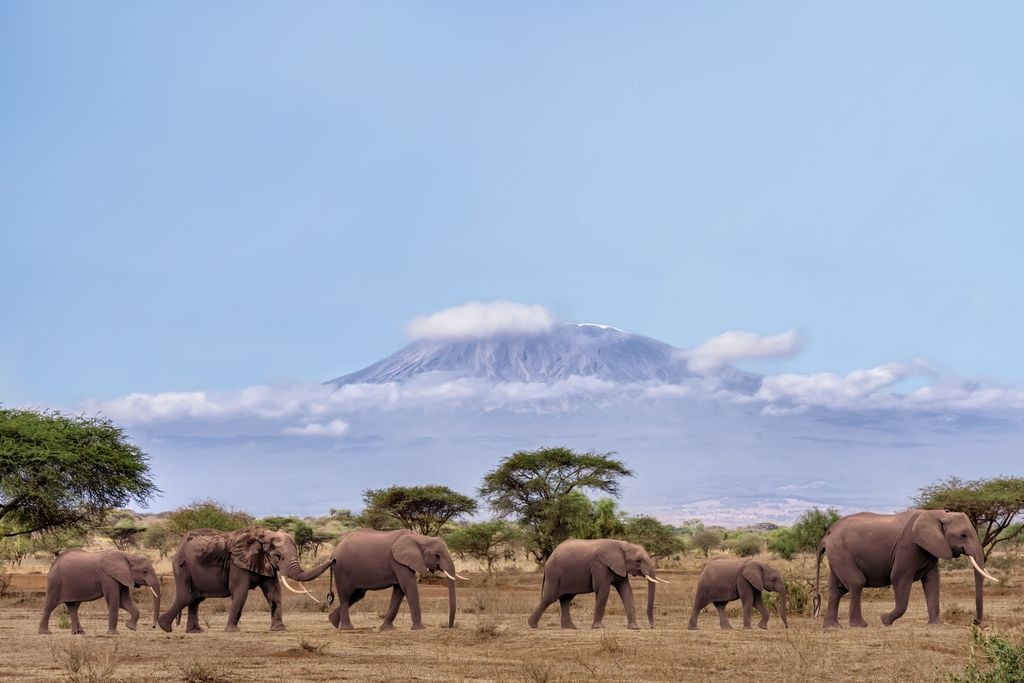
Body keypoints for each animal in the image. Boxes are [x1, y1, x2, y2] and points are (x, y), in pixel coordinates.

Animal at [157, 527, 333, 633]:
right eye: (278, 556)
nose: (333, 560)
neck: (263, 535)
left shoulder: (263, 562)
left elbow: (274, 592)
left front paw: (279, 629)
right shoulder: (237, 563)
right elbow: (240, 591)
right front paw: (232, 631)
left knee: (195, 600)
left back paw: (195, 632)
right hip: (181, 566)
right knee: (186, 596)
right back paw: (165, 627)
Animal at [328, 529, 467, 631]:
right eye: (437, 555)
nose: (449, 627)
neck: (419, 538)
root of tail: (335, 550)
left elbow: (399, 590)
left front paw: (387, 629)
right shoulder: (398, 562)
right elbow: (409, 586)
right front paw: (420, 629)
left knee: (357, 595)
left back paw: (333, 622)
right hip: (342, 569)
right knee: (345, 595)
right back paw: (347, 629)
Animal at [526, 539, 667, 630]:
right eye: (638, 561)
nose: (652, 627)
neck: (622, 545)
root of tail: (548, 561)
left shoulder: (619, 566)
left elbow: (626, 590)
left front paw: (634, 628)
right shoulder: (600, 566)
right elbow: (603, 590)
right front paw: (599, 628)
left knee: (566, 599)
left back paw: (570, 627)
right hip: (554, 574)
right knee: (549, 598)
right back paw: (532, 625)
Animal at [813, 509, 999, 628]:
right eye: (963, 535)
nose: (975, 622)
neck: (937, 514)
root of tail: (827, 535)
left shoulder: (930, 548)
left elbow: (933, 582)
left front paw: (935, 625)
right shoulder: (908, 547)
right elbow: (899, 577)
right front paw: (885, 620)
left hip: (837, 555)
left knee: (836, 589)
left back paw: (832, 627)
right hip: (841, 553)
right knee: (856, 583)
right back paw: (860, 626)